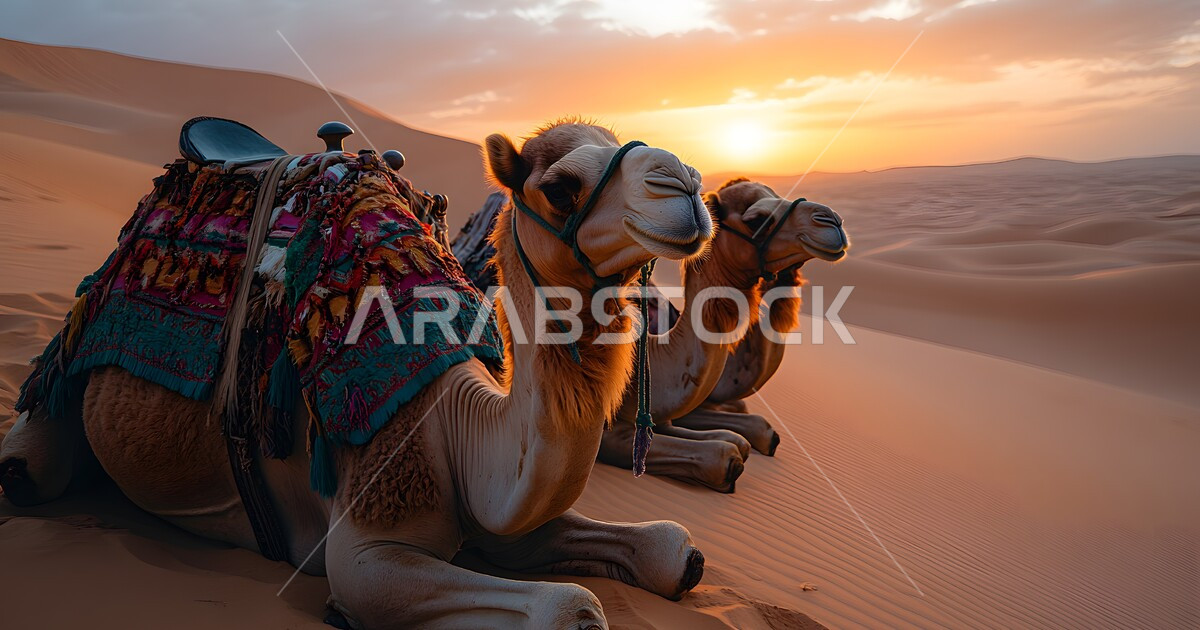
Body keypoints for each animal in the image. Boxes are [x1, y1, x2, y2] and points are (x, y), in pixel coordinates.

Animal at [0, 121, 716, 629]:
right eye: (561, 187)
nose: (684, 183)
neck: (459, 427)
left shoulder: (500, 515)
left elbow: (675, 549)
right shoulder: (367, 542)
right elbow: (570, 608)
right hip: (53, 406)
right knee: (29, 468)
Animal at [597, 178, 848, 491]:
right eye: (757, 219)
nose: (832, 220)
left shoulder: (668, 417)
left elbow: (742, 436)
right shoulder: (608, 432)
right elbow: (726, 453)